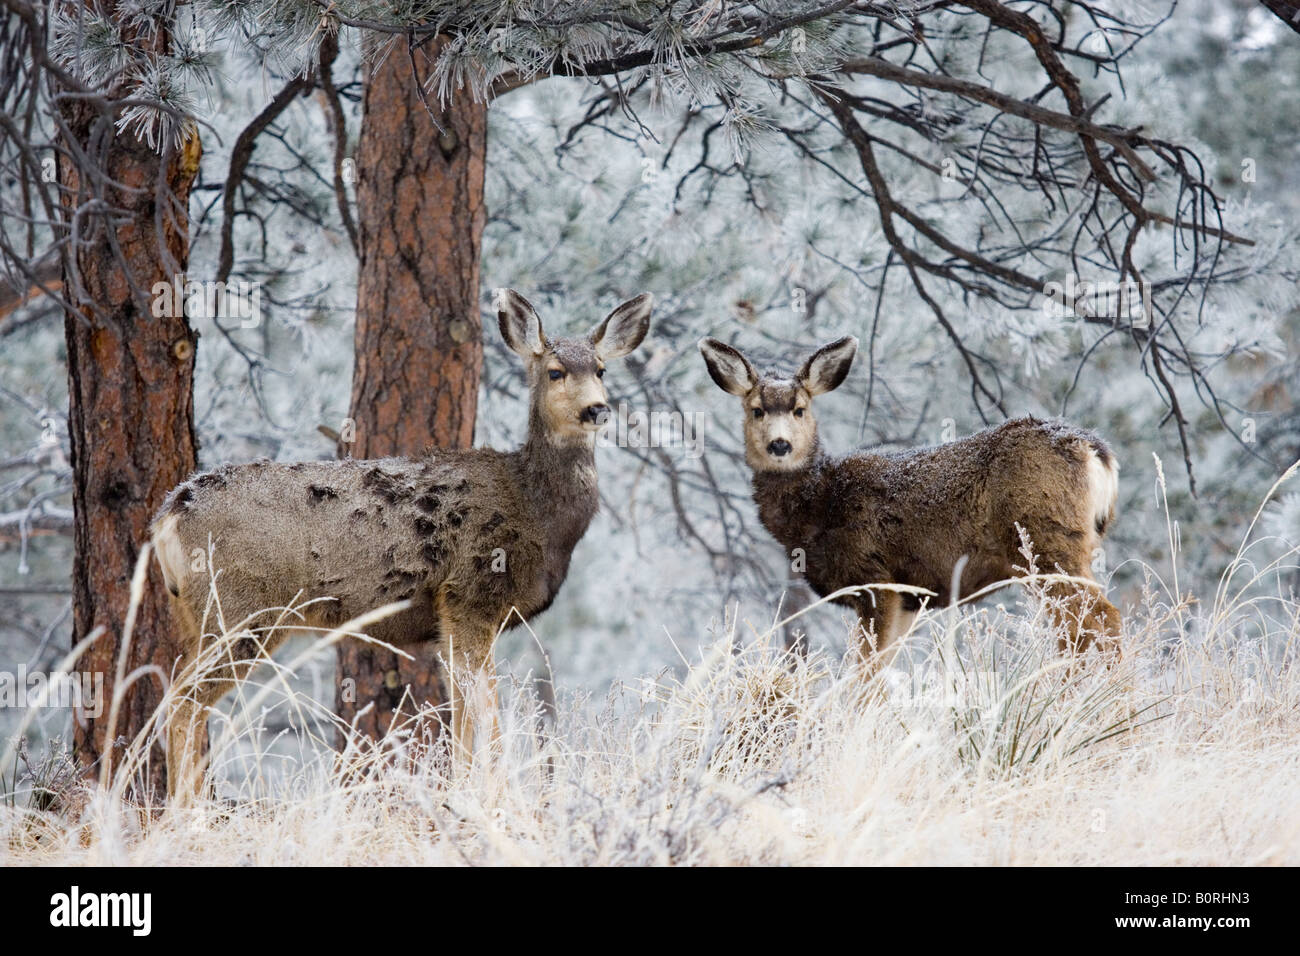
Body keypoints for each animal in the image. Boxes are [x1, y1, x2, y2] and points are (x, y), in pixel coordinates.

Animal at [151, 290, 652, 802]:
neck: (536, 511)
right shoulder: (471, 596)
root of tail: (169, 514)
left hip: (195, 612)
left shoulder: (448, 620)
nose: (598, 409)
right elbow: (487, 712)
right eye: (555, 371)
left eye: (601, 369)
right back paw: (185, 809)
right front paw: (494, 799)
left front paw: (464, 791)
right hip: (239, 608)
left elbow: (463, 716)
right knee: (183, 698)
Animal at [698, 335, 1122, 671]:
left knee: (1102, 620)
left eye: (800, 409)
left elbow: (864, 677)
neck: (822, 504)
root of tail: (1095, 449)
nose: (779, 444)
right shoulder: (908, 599)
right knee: (1077, 630)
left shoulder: (876, 579)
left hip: (1046, 539)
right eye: (756, 410)